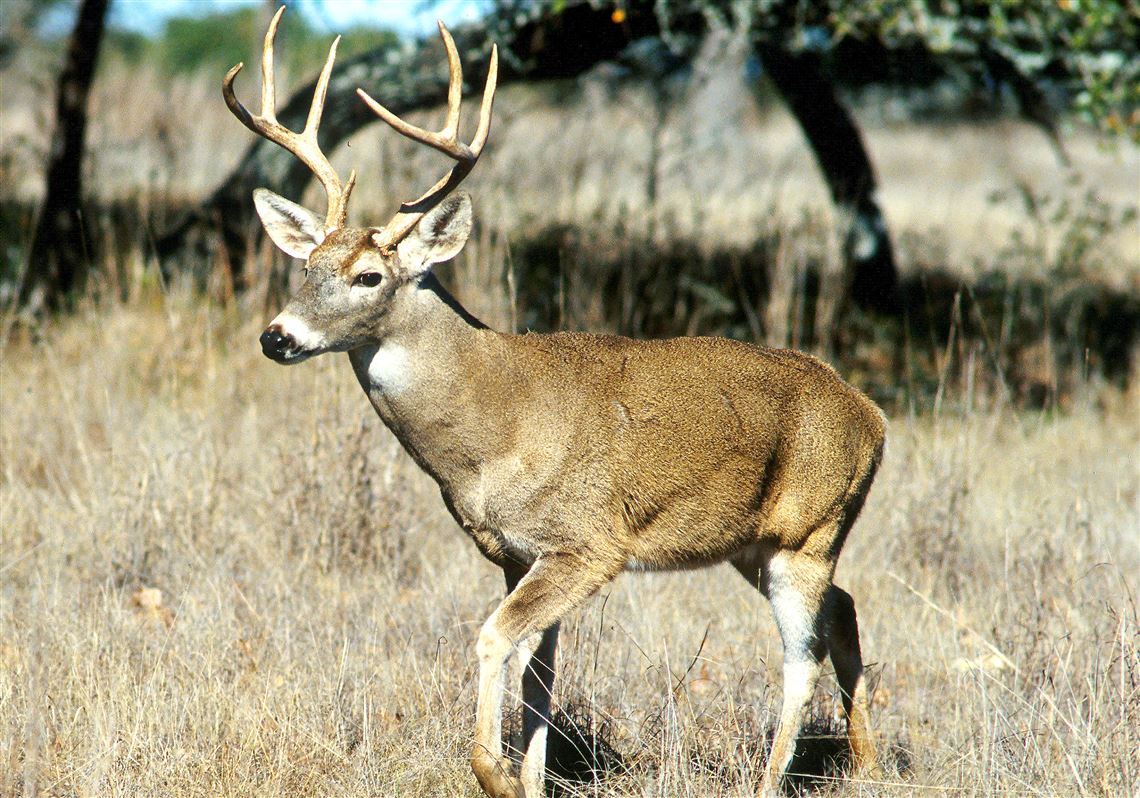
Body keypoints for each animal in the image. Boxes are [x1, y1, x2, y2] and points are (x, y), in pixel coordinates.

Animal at [225, 9, 886, 797]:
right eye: (307, 268)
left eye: (368, 276)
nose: (277, 335)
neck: (491, 427)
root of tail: (873, 416)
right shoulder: (516, 554)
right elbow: (538, 674)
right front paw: (532, 779)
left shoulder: (587, 543)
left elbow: (493, 640)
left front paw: (497, 774)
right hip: (755, 544)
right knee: (843, 612)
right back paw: (868, 763)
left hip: (808, 532)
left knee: (801, 658)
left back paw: (771, 780)